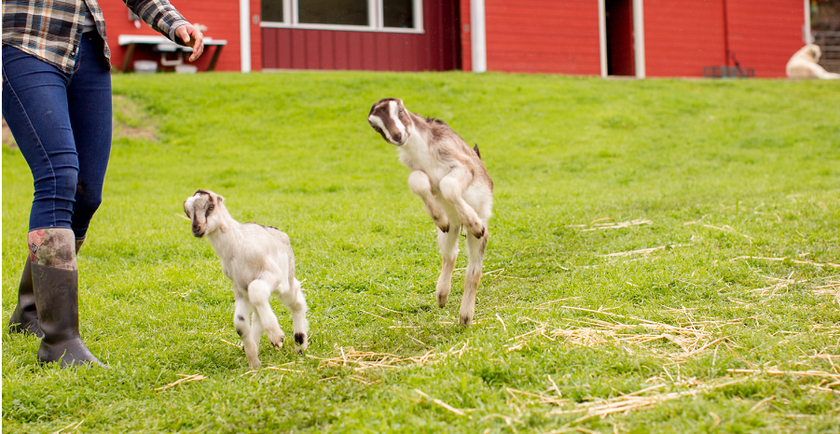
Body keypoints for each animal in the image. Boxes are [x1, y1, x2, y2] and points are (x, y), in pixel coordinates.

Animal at [184, 189, 308, 368]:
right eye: (187, 212)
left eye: (211, 206)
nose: (196, 228)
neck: (237, 246)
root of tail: (279, 232)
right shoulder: (240, 287)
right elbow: (240, 324)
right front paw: (254, 362)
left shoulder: (271, 274)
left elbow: (256, 292)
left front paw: (277, 337)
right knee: (257, 313)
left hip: (286, 280)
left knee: (297, 301)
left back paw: (300, 345)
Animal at [368, 98, 493, 326]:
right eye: (376, 127)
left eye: (400, 111)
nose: (397, 136)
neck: (426, 155)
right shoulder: (419, 173)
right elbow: (417, 182)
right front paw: (438, 217)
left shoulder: (464, 166)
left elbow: (448, 185)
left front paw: (473, 222)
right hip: (448, 233)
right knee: (450, 255)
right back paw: (441, 296)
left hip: (480, 236)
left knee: (473, 270)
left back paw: (465, 316)